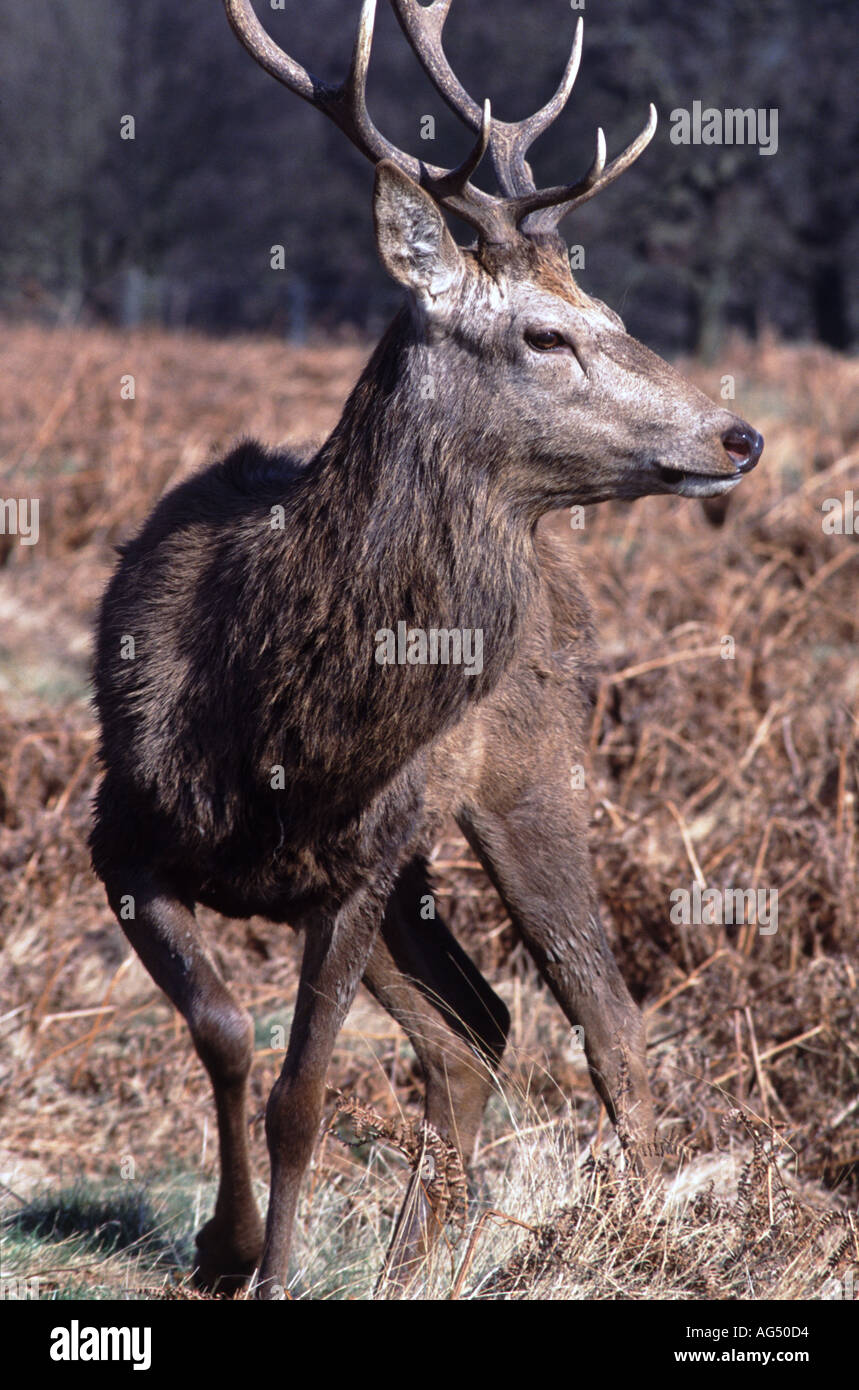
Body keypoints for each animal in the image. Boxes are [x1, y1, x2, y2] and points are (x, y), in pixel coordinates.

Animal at [89, 0, 763, 1299]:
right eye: (547, 332)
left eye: (616, 318)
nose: (737, 432)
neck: (273, 729)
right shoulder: (120, 834)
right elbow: (226, 1033)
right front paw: (225, 1247)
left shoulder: (354, 870)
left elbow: (301, 1090)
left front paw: (271, 1271)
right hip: (424, 856)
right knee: (476, 1027)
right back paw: (417, 1259)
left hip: (527, 777)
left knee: (606, 1025)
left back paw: (640, 1243)